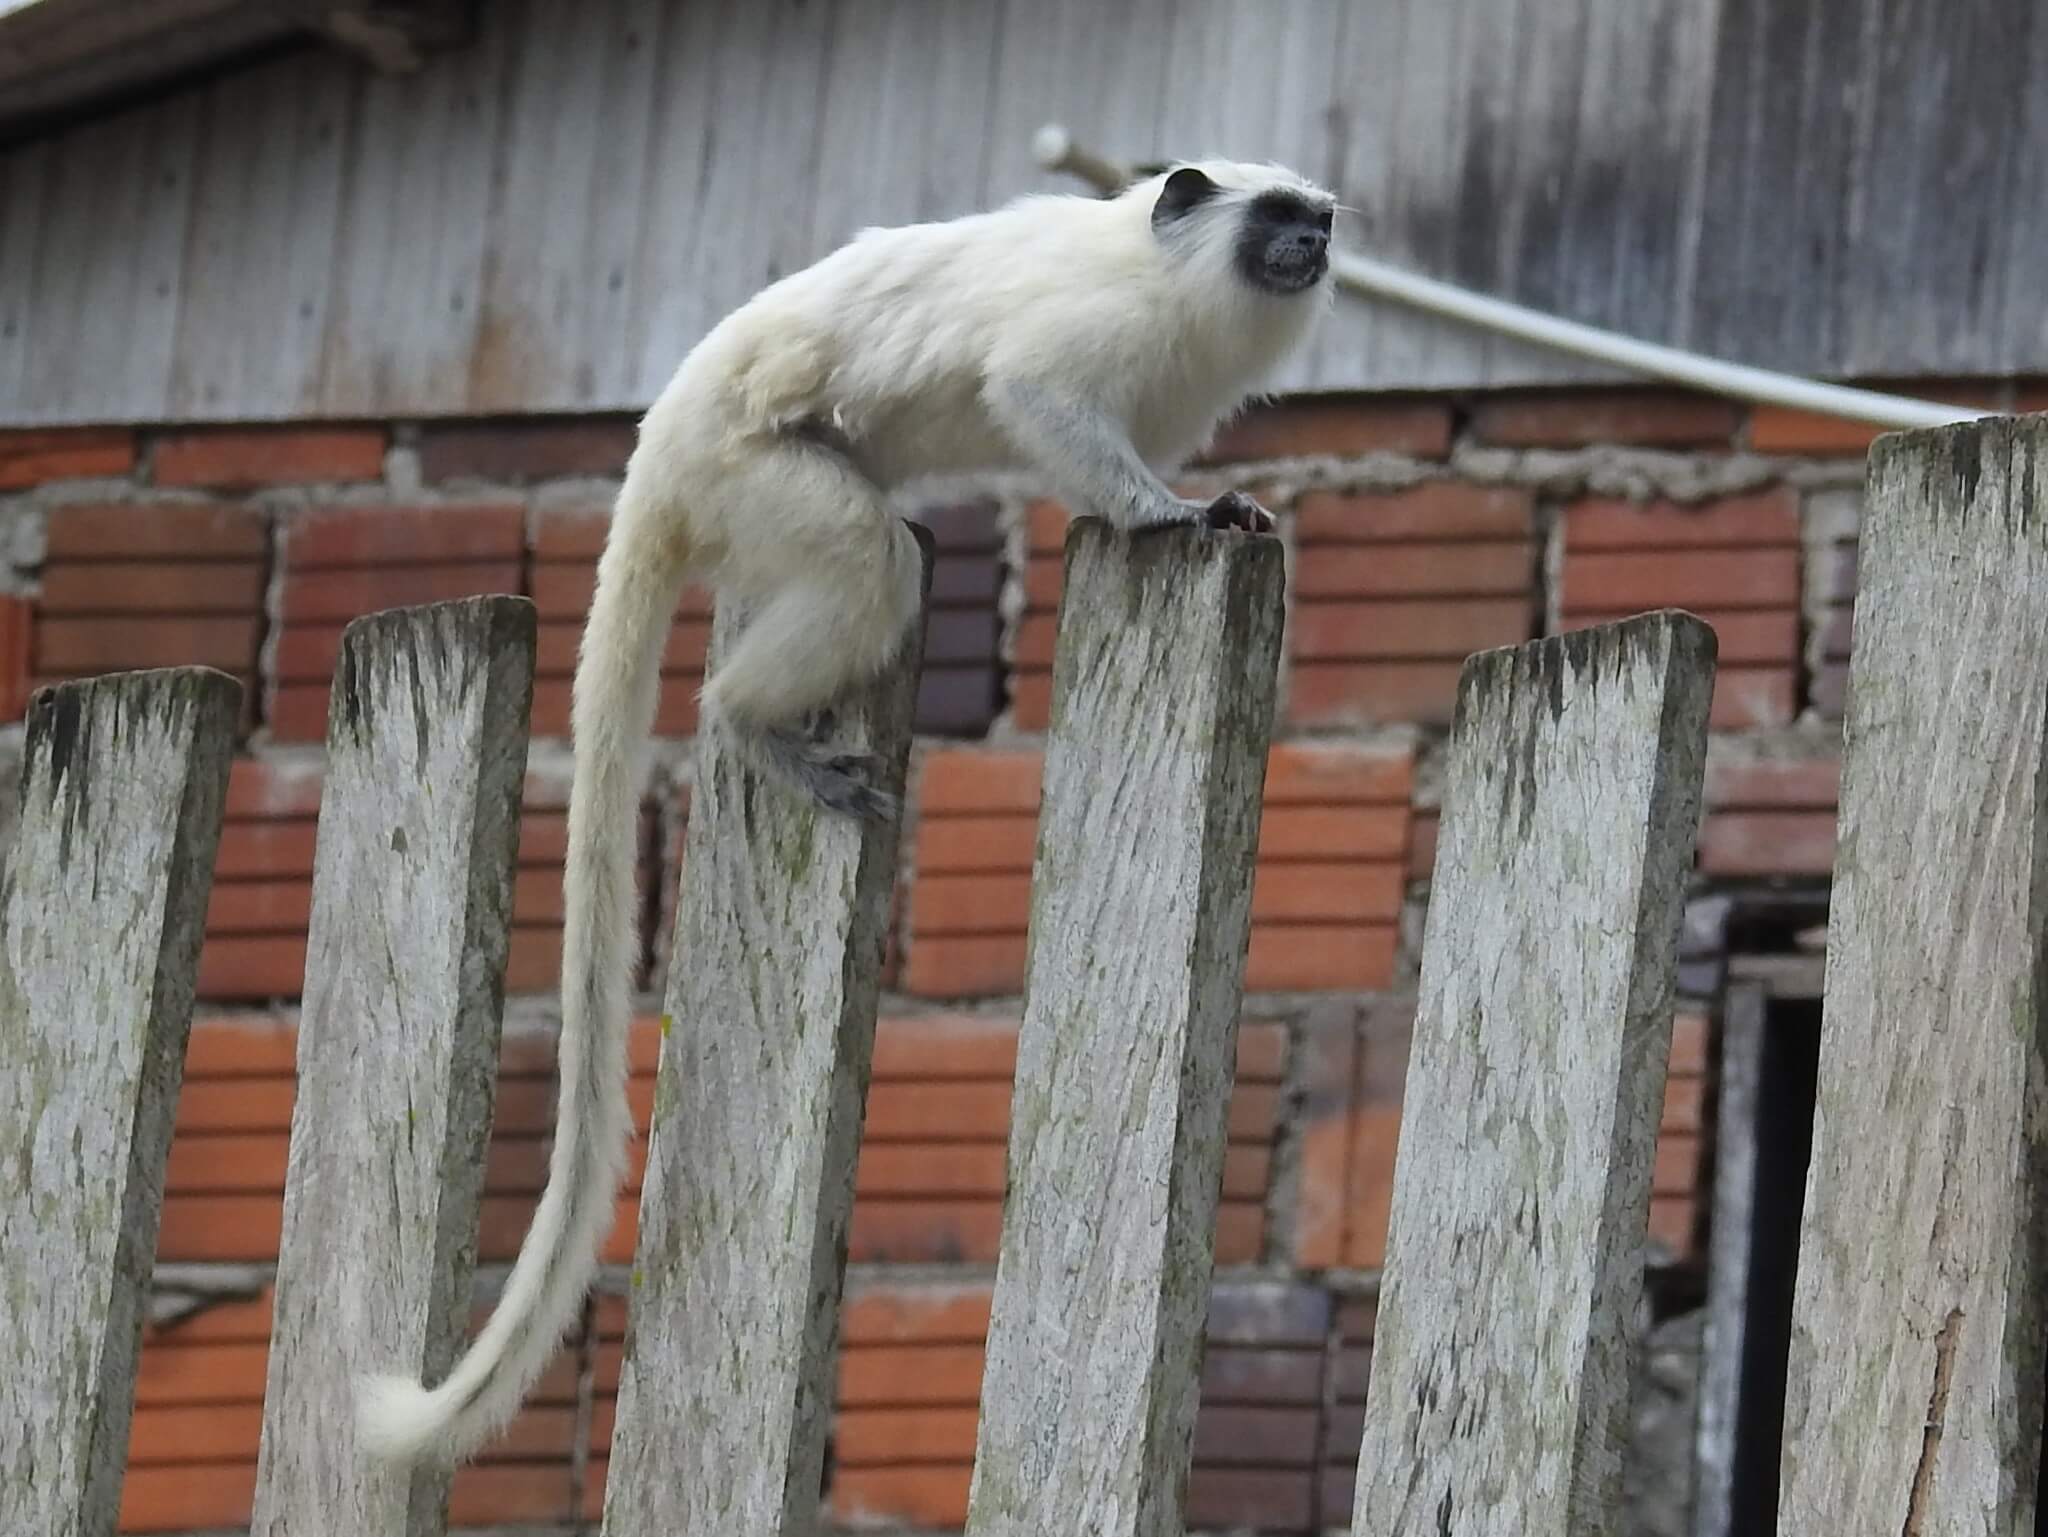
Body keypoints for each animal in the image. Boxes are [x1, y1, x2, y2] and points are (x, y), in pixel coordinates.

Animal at [354, 157, 1337, 1467]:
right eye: (1274, 218)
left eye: (1314, 220)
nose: (1309, 247)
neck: (1168, 268)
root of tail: (661, 444)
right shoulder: (1100, 326)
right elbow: (1032, 389)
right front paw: (1164, 517)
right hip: (746, 473)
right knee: (868, 558)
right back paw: (751, 723)